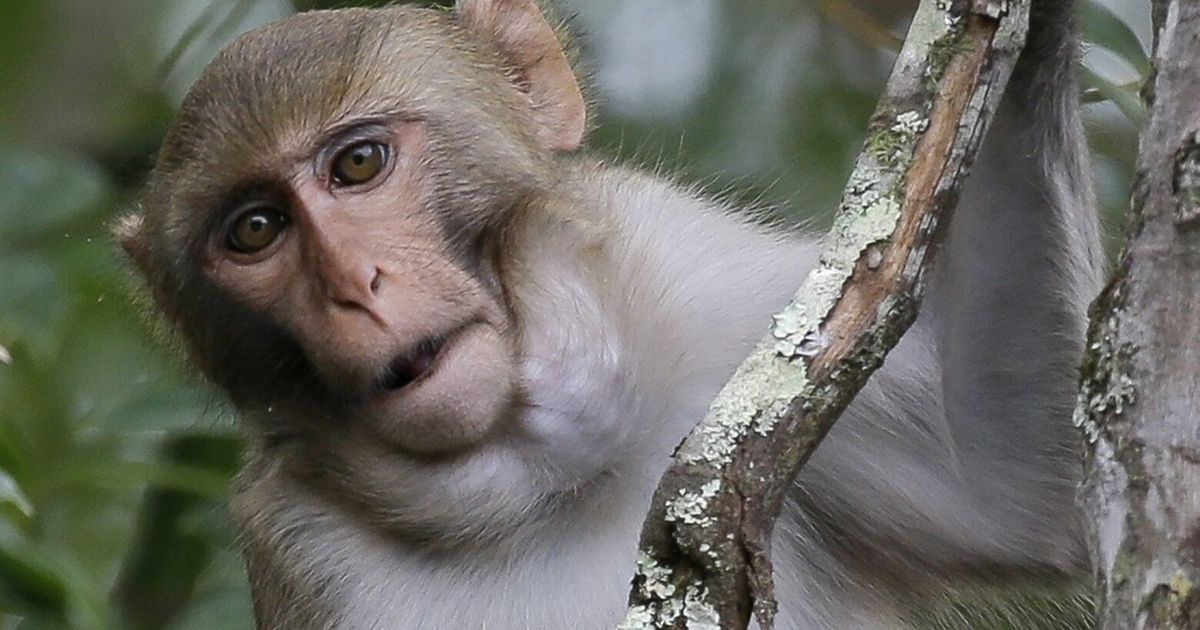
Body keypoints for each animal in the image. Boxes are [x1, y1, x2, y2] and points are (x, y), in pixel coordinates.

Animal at [116, 0, 1102, 627]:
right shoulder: (298, 544)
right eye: (255, 231)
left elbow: (1014, 491)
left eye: (358, 164)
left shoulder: (712, 295)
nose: (354, 284)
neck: (548, 483)